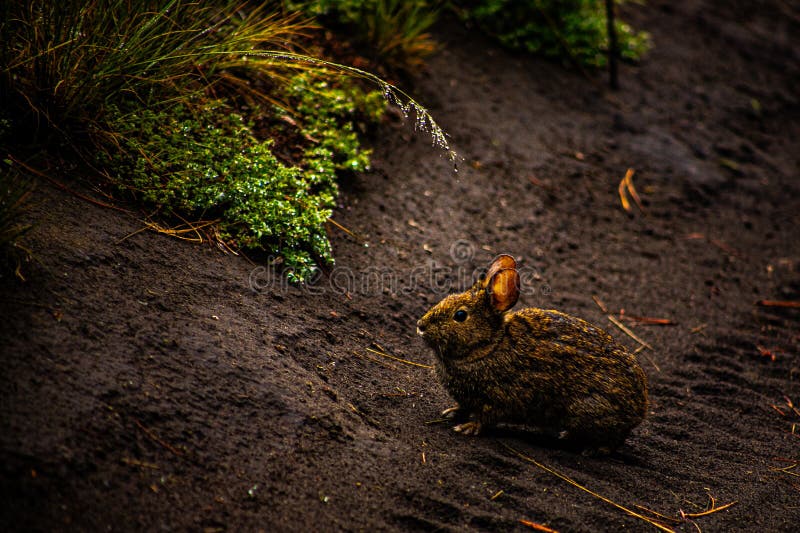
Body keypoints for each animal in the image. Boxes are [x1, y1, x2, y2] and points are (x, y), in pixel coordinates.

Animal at [416, 254, 648, 453]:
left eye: (460, 315)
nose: (420, 326)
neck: (489, 345)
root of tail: (640, 408)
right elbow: (463, 407)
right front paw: (451, 413)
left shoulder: (499, 397)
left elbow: (485, 417)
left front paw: (467, 428)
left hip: (589, 410)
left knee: (614, 438)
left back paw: (591, 448)